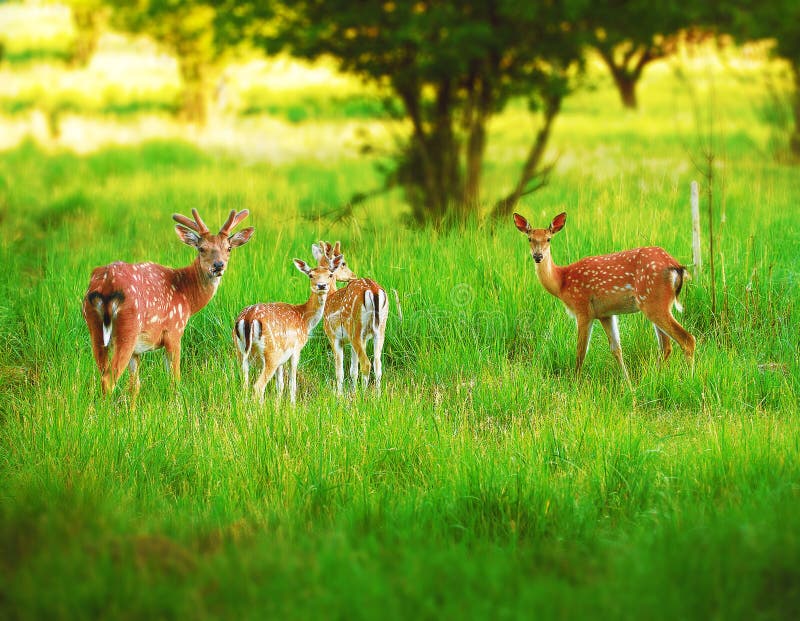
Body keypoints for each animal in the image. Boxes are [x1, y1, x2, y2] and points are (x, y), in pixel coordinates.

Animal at [83, 209, 254, 402]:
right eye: (201, 248)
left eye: (228, 248)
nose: (218, 265)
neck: (186, 296)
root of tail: (106, 285)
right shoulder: (174, 331)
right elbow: (175, 379)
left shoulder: (137, 351)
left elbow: (135, 386)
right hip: (128, 328)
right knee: (109, 379)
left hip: (94, 328)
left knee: (103, 373)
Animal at [233, 253, 343, 404]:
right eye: (311, 275)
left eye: (330, 274)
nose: (321, 285)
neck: (304, 320)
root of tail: (249, 317)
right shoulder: (296, 349)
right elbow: (292, 383)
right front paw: (292, 405)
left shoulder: (282, 358)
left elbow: (280, 385)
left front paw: (278, 405)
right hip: (271, 352)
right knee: (258, 386)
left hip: (240, 350)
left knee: (244, 383)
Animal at [312, 240, 388, 395]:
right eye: (344, 263)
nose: (352, 275)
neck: (329, 297)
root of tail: (373, 290)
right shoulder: (357, 340)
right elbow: (353, 370)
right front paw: (353, 392)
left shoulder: (333, 336)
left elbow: (340, 372)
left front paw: (339, 395)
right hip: (379, 329)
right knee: (377, 365)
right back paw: (377, 395)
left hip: (356, 329)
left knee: (366, 363)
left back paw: (365, 396)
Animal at [513, 212, 695, 382]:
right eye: (529, 238)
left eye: (549, 239)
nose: (538, 256)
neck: (561, 282)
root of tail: (677, 267)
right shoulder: (605, 314)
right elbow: (616, 349)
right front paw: (628, 385)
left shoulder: (582, 308)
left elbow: (581, 351)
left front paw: (575, 383)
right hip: (653, 303)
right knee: (666, 346)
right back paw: (652, 379)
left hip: (654, 302)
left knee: (687, 340)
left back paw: (688, 380)